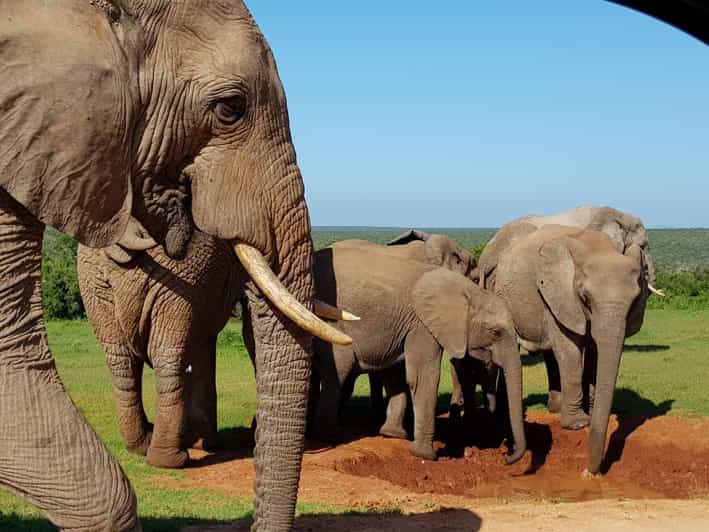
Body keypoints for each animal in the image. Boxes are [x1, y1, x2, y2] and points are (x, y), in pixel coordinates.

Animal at [311, 246, 526, 464]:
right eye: (496, 332)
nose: (506, 457)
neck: (467, 292)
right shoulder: (422, 324)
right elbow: (423, 377)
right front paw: (425, 454)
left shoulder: (402, 328)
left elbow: (396, 374)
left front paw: (394, 435)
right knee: (340, 369)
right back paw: (330, 436)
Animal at [493, 224, 649, 475]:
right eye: (585, 296)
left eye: (635, 299)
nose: (588, 472)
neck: (597, 247)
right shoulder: (558, 295)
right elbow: (569, 348)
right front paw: (578, 424)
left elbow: (595, 350)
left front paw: (592, 413)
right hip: (502, 293)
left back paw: (555, 408)